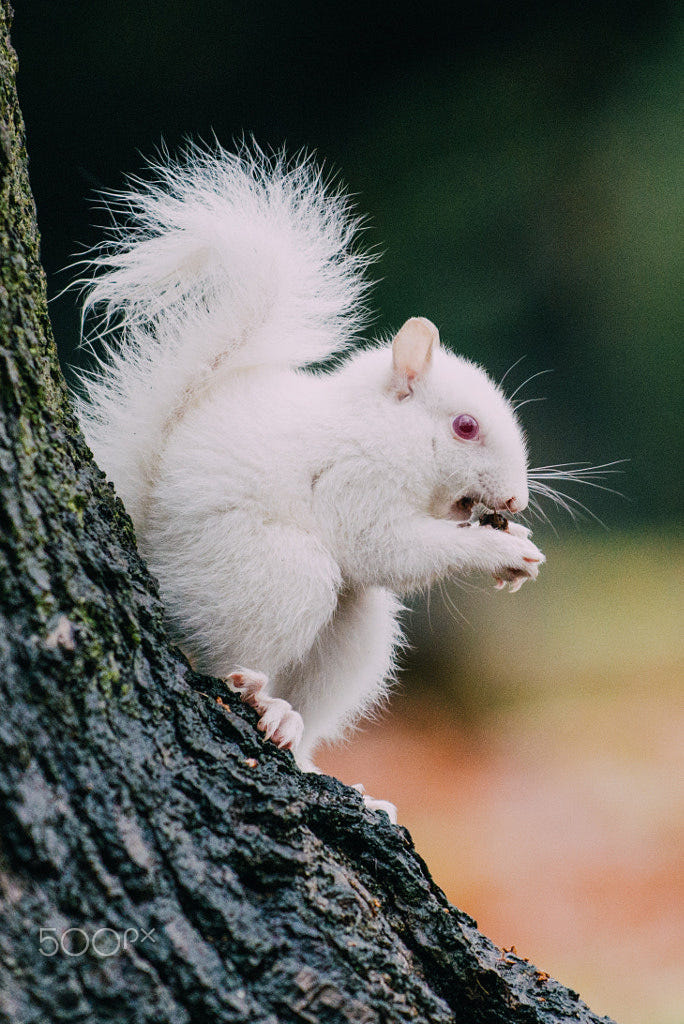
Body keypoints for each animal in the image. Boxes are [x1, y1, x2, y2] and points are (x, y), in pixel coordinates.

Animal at [74, 143, 545, 822]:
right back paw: (255, 694)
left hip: (355, 630)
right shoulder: (353, 482)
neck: (379, 429)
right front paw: (499, 549)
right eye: (465, 427)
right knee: (216, 655)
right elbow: (386, 550)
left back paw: (308, 748)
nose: (515, 500)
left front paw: (519, 548)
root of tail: (146, 534)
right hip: (265, 571)